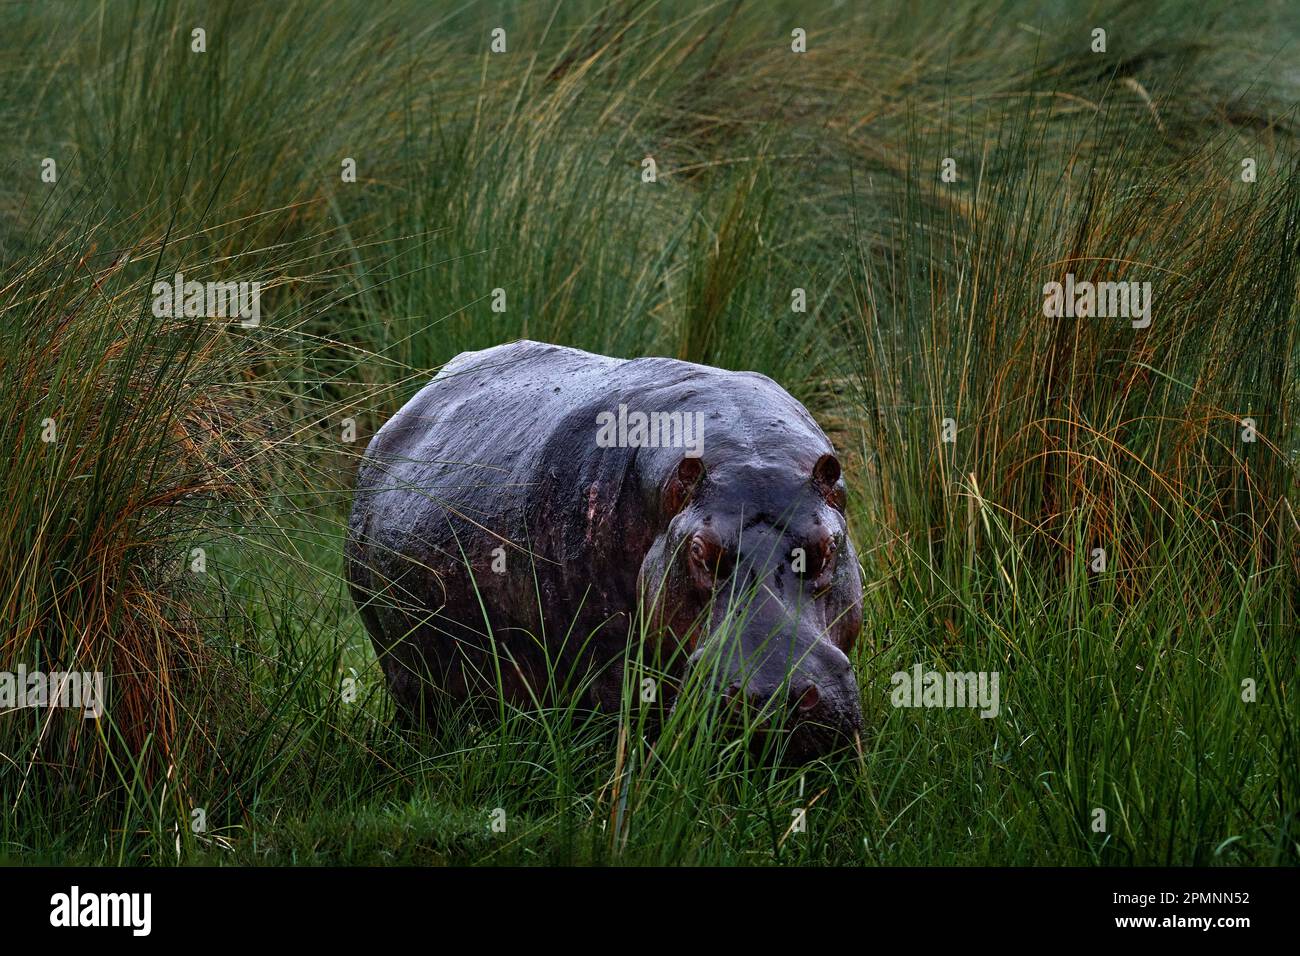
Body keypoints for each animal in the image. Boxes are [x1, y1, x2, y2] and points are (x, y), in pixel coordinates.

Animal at [345, 340, 864, 761]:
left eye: (826, 546)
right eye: (699, 550)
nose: (776, 694)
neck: (750, 454)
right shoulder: (608, 665)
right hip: (401, 669)